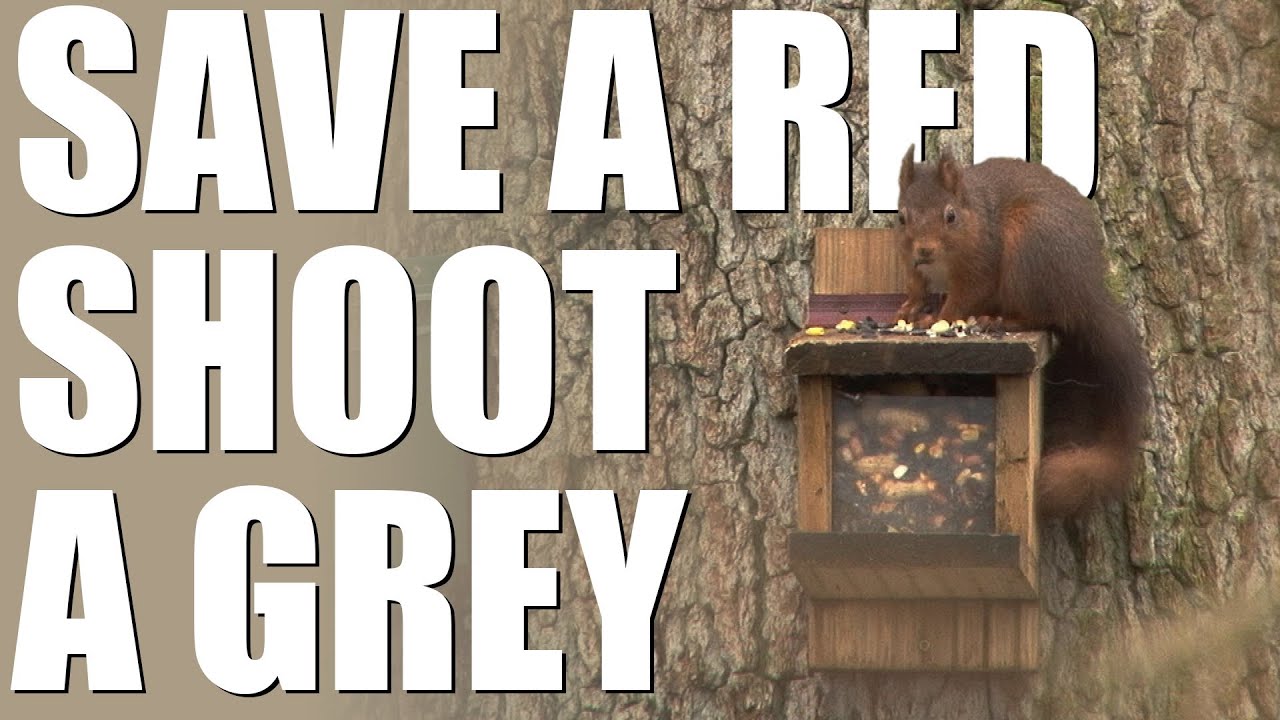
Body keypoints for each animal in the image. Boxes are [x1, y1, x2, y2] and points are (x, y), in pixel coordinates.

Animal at [894, 145, 1151, 517]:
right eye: (901, 217)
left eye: (951, 216)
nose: (924, 250)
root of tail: (1084, 296)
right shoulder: (911, 263)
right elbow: (915, 285)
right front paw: (909, 309)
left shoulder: (981, 264)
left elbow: (964, 297)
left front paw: (938, 319)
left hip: (1029, 248)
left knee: (1038, 316)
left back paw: (1000, 321)